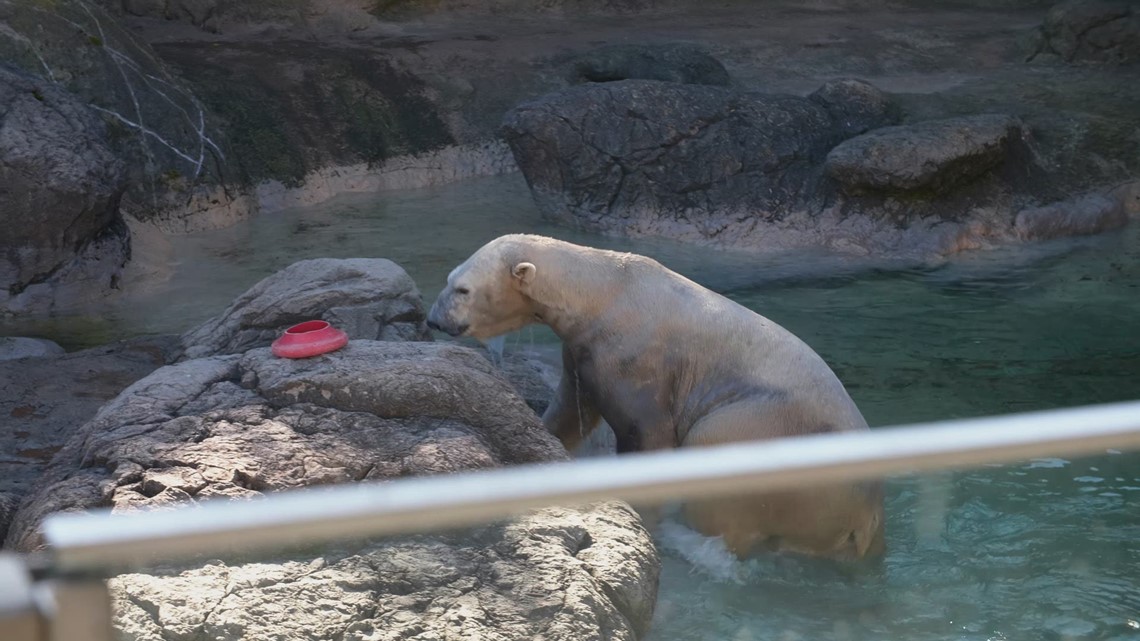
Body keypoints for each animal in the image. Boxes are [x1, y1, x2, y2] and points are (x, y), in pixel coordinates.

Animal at [426, 234, 884, 560]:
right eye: (448, 280)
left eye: (462, 289)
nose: (433, 319)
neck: (604, 294)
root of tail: (865, 512)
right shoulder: (582, 352)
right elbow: (571, 411)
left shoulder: (636, 356)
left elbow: (647, 432)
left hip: (768, 424)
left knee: (716, 459)